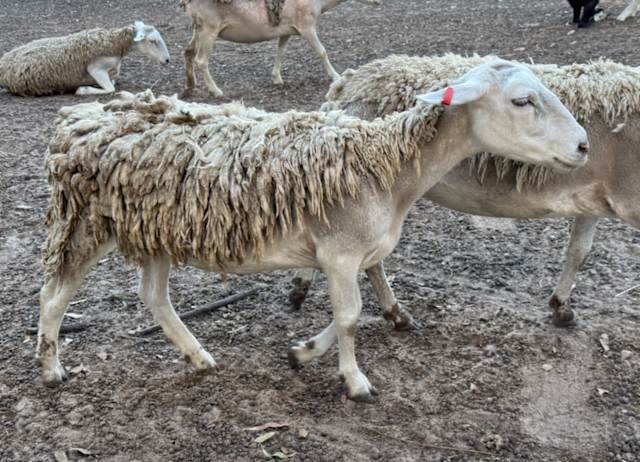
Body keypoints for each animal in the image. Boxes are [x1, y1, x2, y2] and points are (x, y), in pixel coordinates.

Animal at [0, 21, 170, 96]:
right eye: (152, 41)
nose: (168, 60)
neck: (114, 43)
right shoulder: (96, 69)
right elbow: (110, 88)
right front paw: (83, 90)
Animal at [37, 60, 587, 400]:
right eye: (522, 101)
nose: (583, 145)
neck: (389, 166)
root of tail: (77, 120)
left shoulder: (344, 256)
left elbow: (350, 314)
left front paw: (302, 353)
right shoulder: (340, 253)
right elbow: (351, 317)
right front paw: (356, 382)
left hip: (153, 228)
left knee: (153, 297)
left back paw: (200, 357)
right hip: (88, 222)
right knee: (55, 295)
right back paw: (51, 369)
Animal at [180, 0, 380, 97]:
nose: (379, 2)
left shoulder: (287, 29)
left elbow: (280, 51)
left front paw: (277, 78)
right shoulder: (306, 26)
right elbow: (322, 51)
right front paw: (336, 76)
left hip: (199, 29)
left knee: (188, 52)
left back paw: (190, 87)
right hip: (209, 29)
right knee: (201, 60)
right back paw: (215, 91)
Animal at [290, 53, 640, 328]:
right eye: (522, 100)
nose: (583, 145)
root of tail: (346, 85)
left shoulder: (594, 200)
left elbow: (579, 251)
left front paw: (560, 306)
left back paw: (302, 287)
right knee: (369, 257)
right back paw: (395, 313)